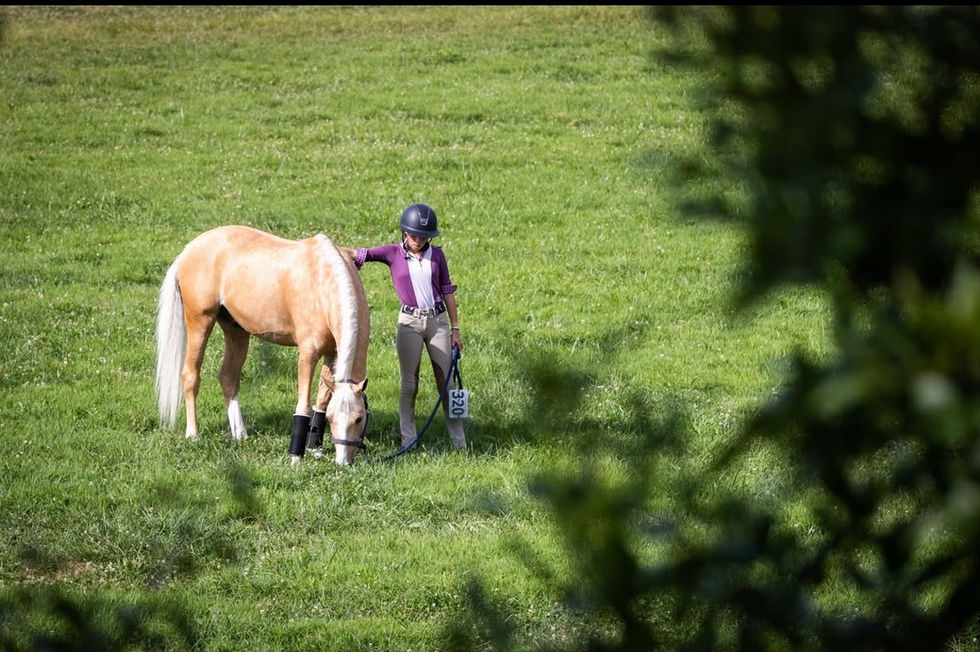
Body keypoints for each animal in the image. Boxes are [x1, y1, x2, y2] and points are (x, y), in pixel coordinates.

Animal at [154, 225, 370, 466]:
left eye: (359, 418)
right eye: (333, 419)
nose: (343, 462)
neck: (323, 281)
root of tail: (188, 250)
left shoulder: (332, 353)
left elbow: (322, 400)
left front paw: (315, 448)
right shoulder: (308, 353)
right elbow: (304, 403)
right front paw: (296, 457)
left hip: (236, 331)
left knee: (228, 378)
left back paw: (240, 434)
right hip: (200, 322)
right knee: (191, 375)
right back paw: (192, 433)